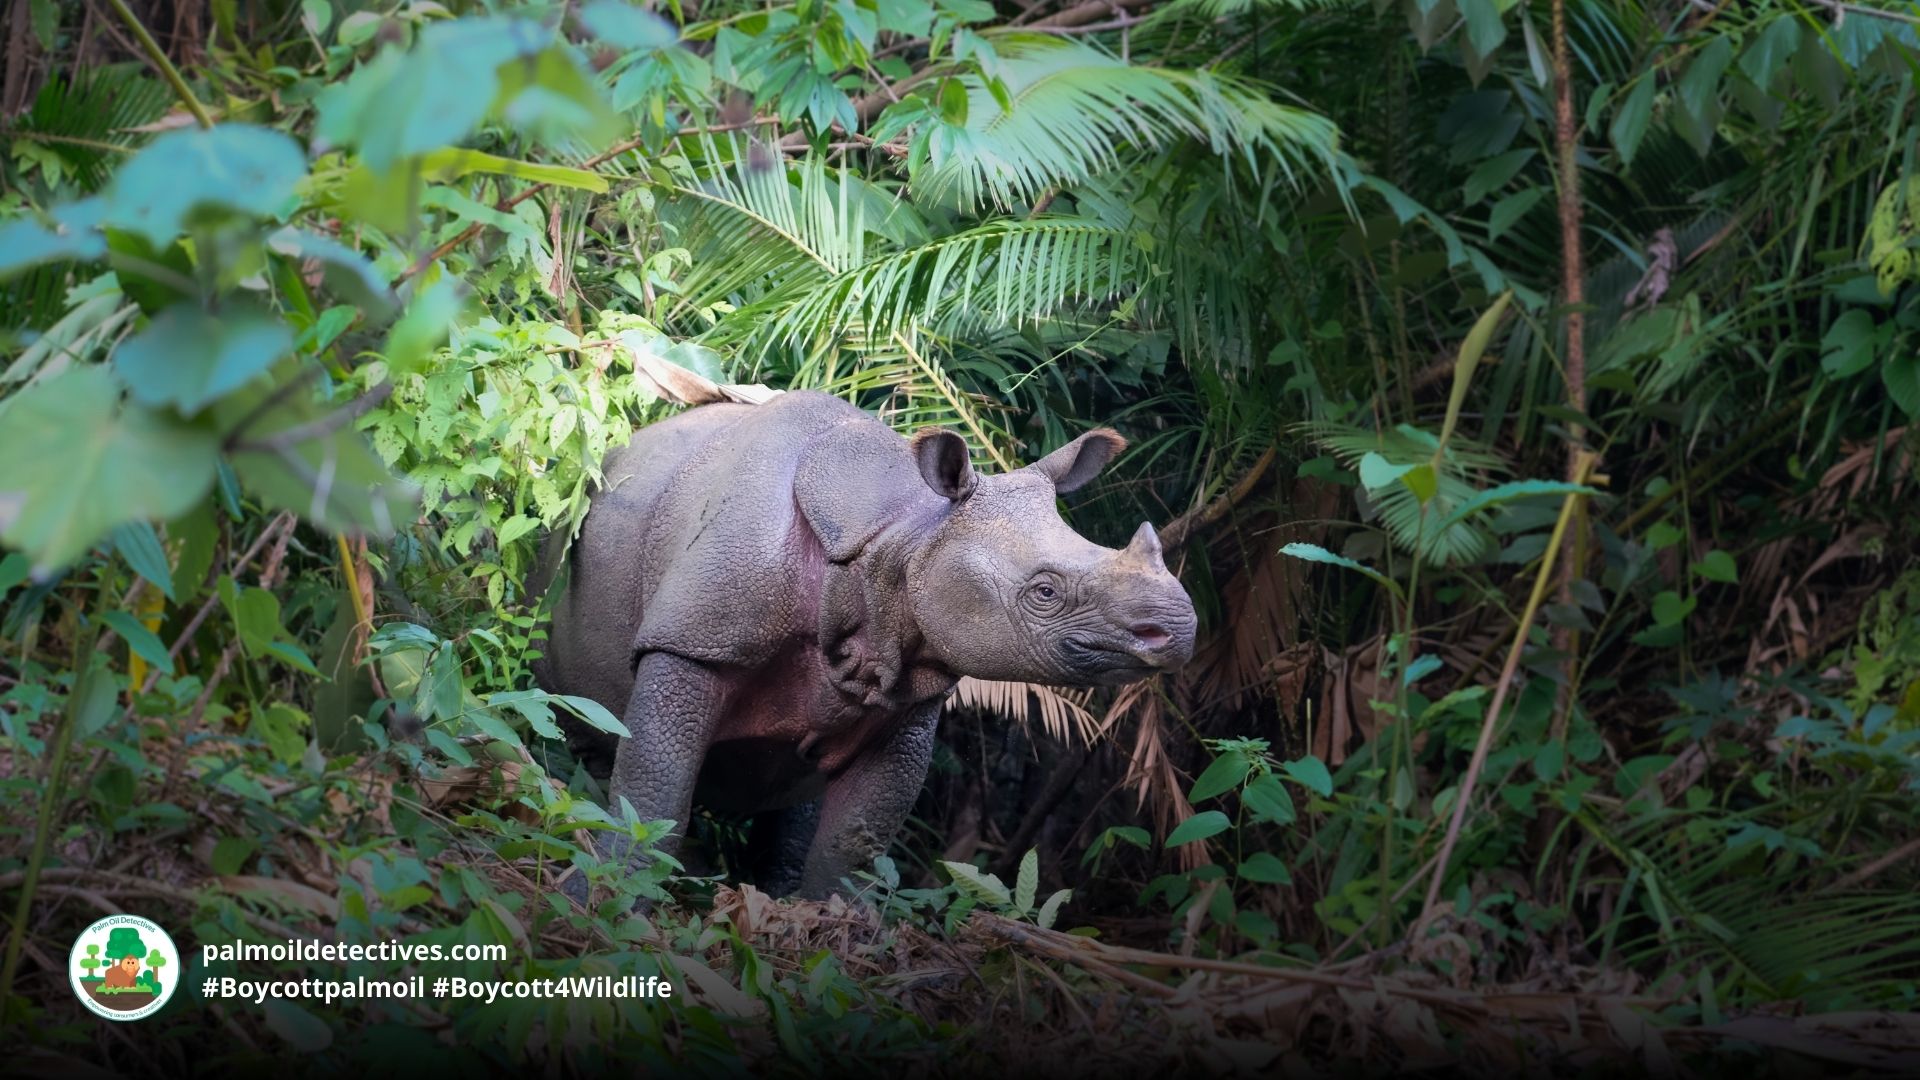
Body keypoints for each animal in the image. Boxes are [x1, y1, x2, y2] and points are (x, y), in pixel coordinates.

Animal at [532, 390, 1196, 900]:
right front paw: (603, 896)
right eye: (1045, 592)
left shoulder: (906, 695)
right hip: (560, 556)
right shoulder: (693, 638)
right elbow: (651, 795)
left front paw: (830, 929)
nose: (1179, 628)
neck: (902, 537)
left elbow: (853, 844)